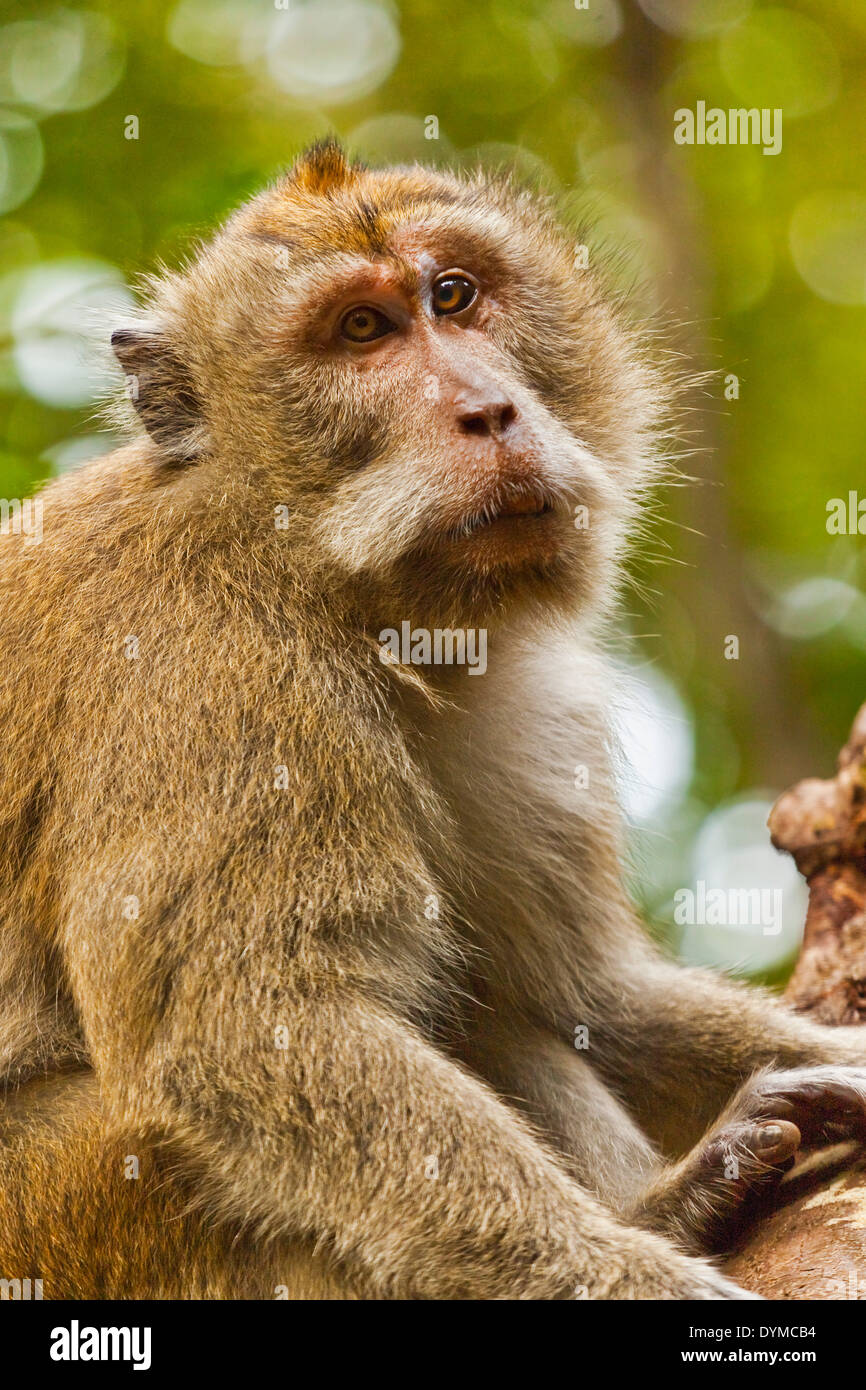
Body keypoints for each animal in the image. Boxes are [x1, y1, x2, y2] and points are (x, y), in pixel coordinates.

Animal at [2, 138, 866, 1301]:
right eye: (360, 331)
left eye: (452, 297)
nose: (488, 411)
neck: (330, 581)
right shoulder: (202, 670)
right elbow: (247, 1029)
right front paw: (637, 1277)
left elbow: (590, 993)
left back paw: (683, 1199)